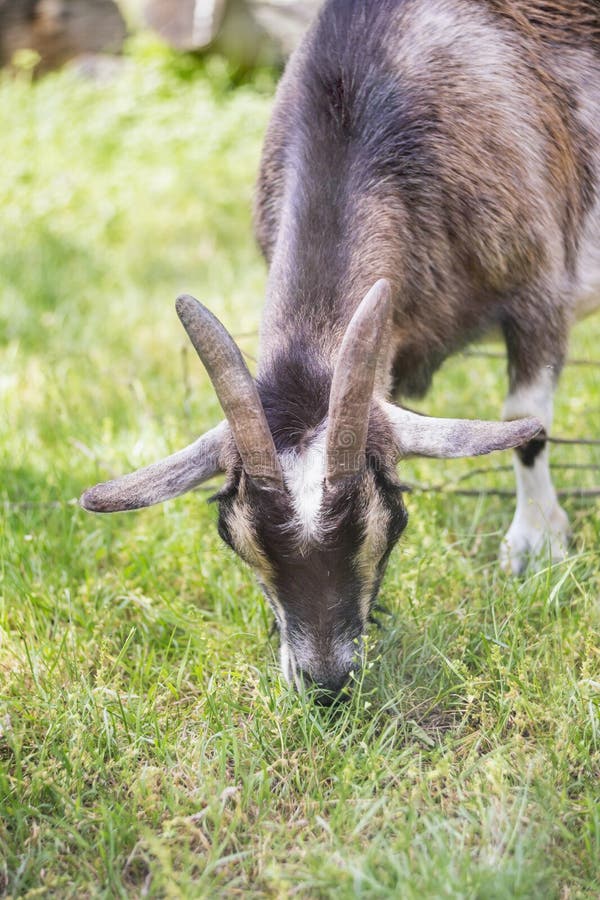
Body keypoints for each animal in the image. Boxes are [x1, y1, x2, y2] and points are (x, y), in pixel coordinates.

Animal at [81, 0, 600, 701]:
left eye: (389, 515)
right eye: (233, 533)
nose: (326, 683)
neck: (364, 91)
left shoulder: (540, 287)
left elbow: (528, 422)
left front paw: (536, 544)